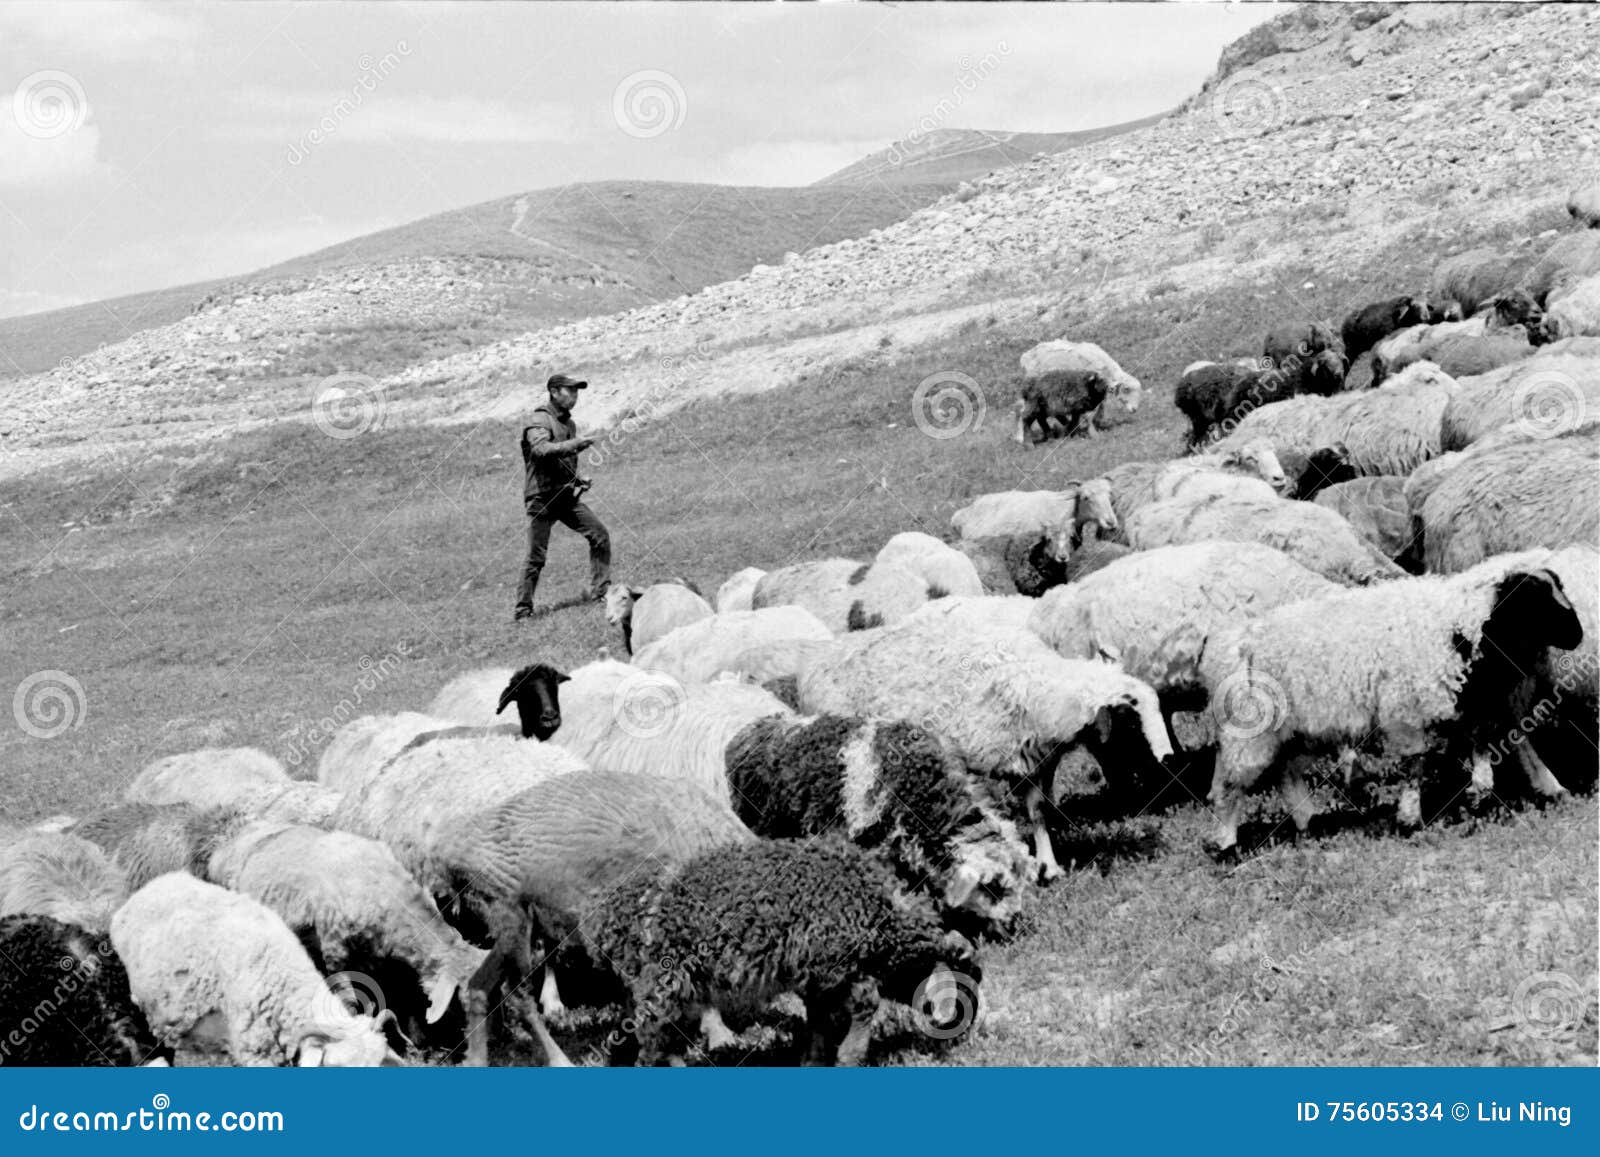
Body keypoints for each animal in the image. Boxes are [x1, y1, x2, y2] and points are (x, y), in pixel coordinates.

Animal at [429, 771, 755, 1065]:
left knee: (479, 985)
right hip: (510, 919)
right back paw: (559, 1060)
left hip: (512, 925)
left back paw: (477, 1059)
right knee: (517, 995)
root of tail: (449, 857)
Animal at [581, 840, 980, 1065]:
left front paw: (813, 1061)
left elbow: (818, 1020)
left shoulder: (819, 976)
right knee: (652, 1044)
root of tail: (609, 916)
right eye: (967, 980)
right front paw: (849, 1058)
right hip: (663, 982)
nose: (961, 1036)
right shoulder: (838, 962)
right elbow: (865, 1006)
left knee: (656, 1042)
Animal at [796, 621, 1173, 879]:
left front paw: (1048, 866)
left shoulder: (1033, 763)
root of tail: (813, 666)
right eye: (1132, 719)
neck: (1032, 685)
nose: (1168, 758)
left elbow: (1038, 813)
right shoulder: (965, 763)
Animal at [1202, 555, 1584, 853]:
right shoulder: (1405, 713)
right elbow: (1415, 765)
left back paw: (1308, 823)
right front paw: (1411, 817)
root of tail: (1237, 644)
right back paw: (1226, 844)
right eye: (1535, 603)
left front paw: (1524, 788)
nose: (1579, 635)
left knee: (1286, 773)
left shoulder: (1476, 705)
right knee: (1230, 785)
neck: (1465, 630)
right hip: (1252, 729)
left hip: (1300, 730)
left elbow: (1498, 744)